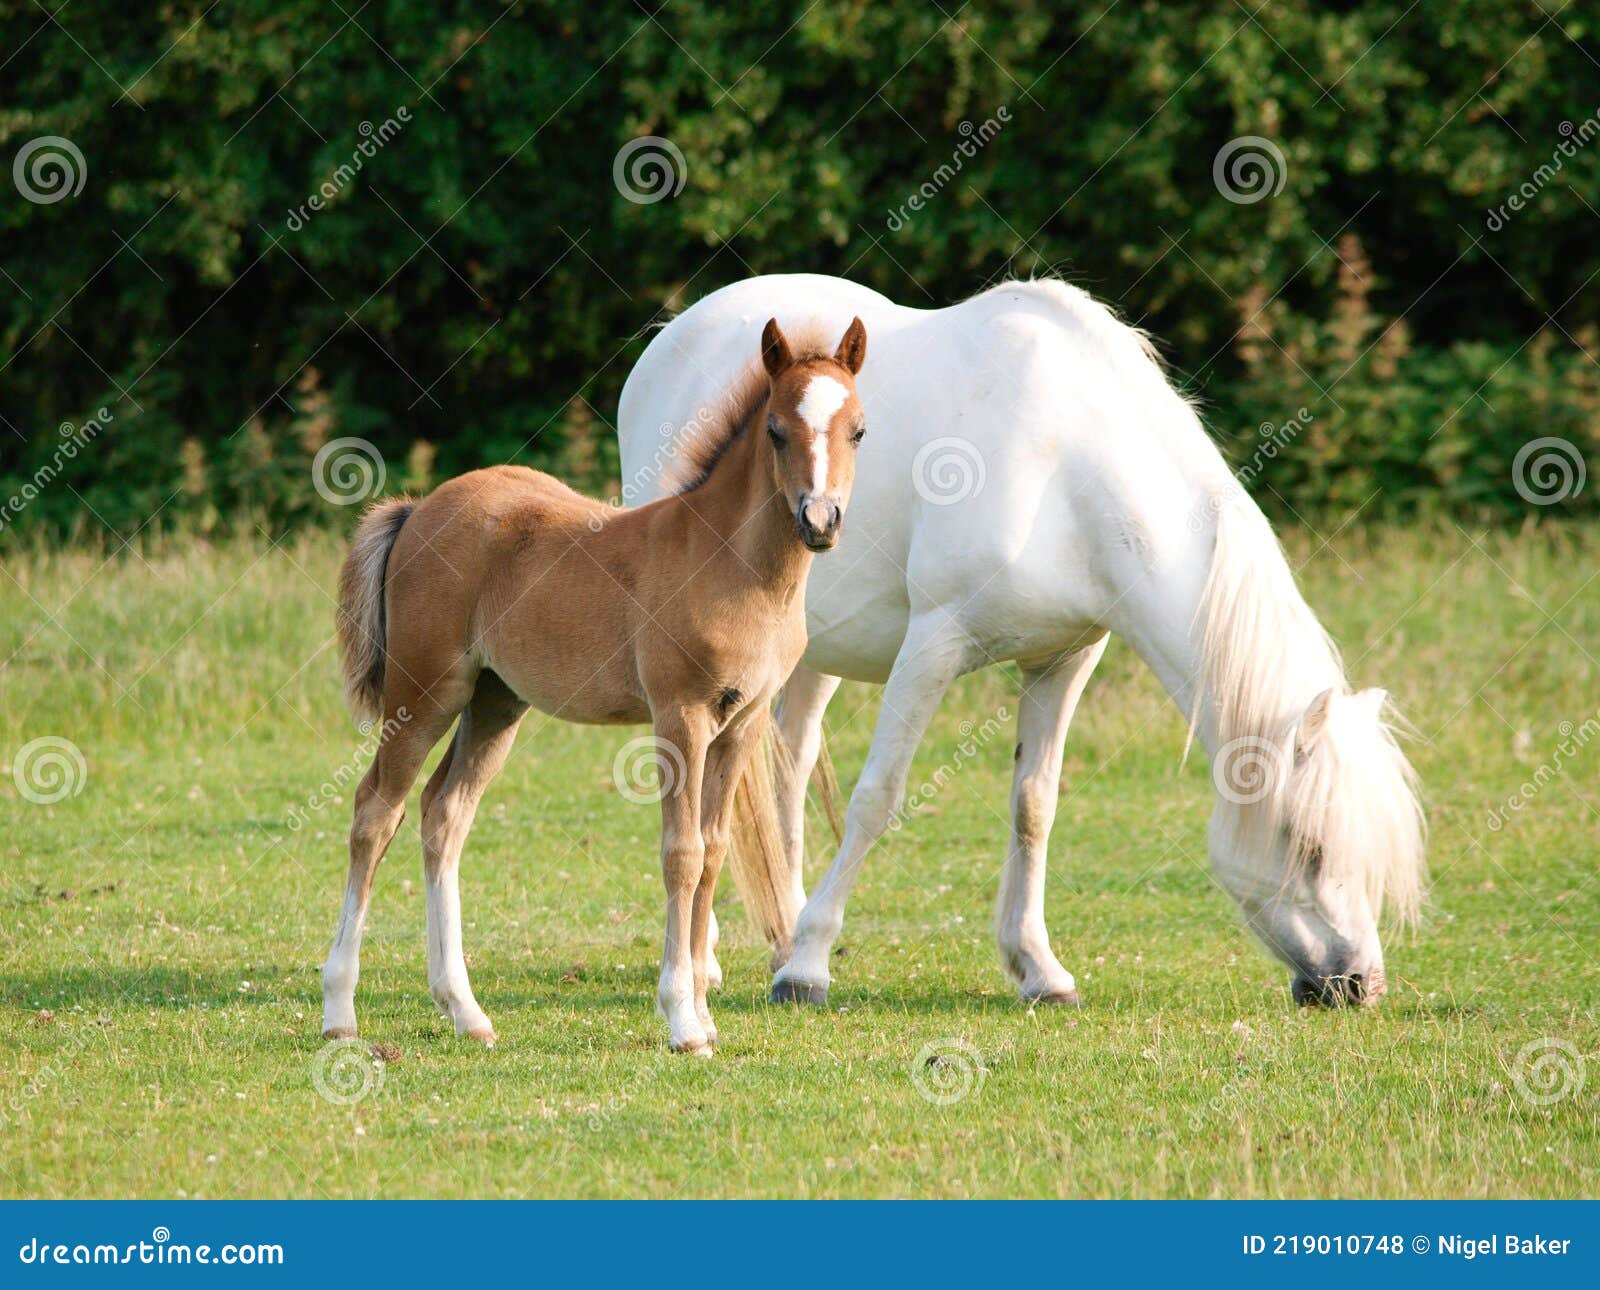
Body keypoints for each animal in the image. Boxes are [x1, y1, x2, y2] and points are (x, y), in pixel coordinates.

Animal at [320, 315, 871, 1054]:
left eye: (858, 430)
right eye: (778, 430)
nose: (819, 521)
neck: (732, 565)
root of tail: (418, 509)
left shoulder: (743, 722)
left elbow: (715, 853)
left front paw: (704, 1013)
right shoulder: (680, 717)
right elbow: (682, 854)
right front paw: (681, 1018)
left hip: (496, 703)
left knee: (444, 815)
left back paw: (465, 1010)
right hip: (424, 693)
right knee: (376, 811)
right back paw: (340, 1012)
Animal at [618, 274, 1425, 1011]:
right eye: (1306, 844)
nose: (1360, 984)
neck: (1065, 467)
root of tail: (675, 333)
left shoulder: (1064, 659)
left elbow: (1035, 804)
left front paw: (1039, 969)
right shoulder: (932, 645)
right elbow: (878, 797)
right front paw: (809, 969)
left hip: (814, 648)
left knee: (789, 760)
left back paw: (781, 935)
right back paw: (717, 958)